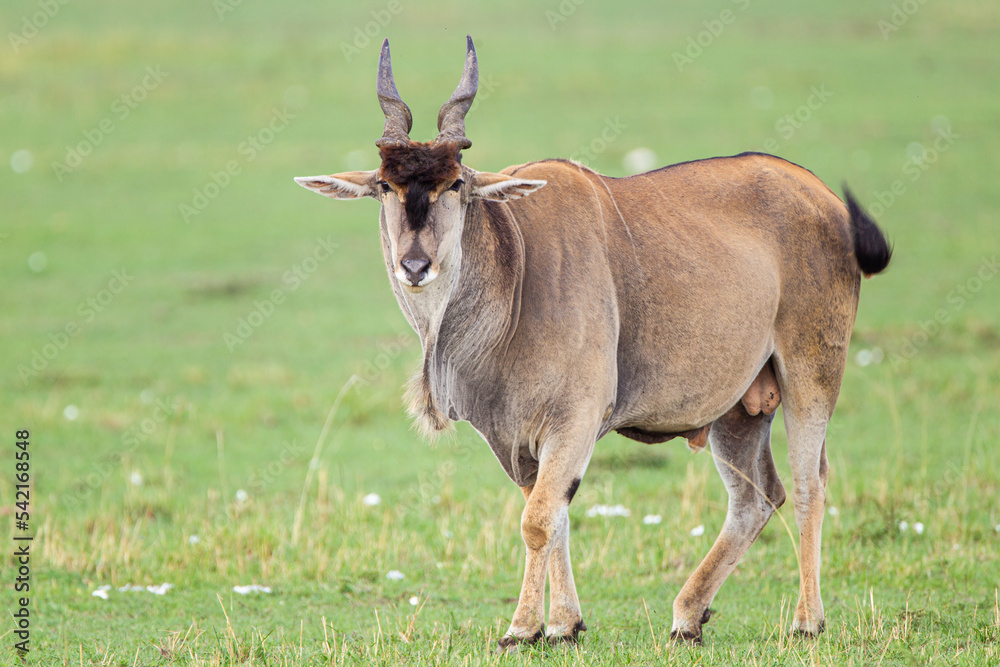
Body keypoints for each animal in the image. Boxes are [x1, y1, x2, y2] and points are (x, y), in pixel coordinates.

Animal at [295, 36, 891, 649]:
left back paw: (806, 620)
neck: (514, 262)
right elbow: (552, 515)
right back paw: (687, 615)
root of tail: (825, 198)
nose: (415, 265)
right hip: (739, 407)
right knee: (756, 497)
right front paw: (562, 624)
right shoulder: (522, 438)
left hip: (810, 374)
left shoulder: (575, 418)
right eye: (384, 186)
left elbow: (539, 520)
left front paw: (521, 628)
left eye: (455, 184)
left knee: (808, 485)